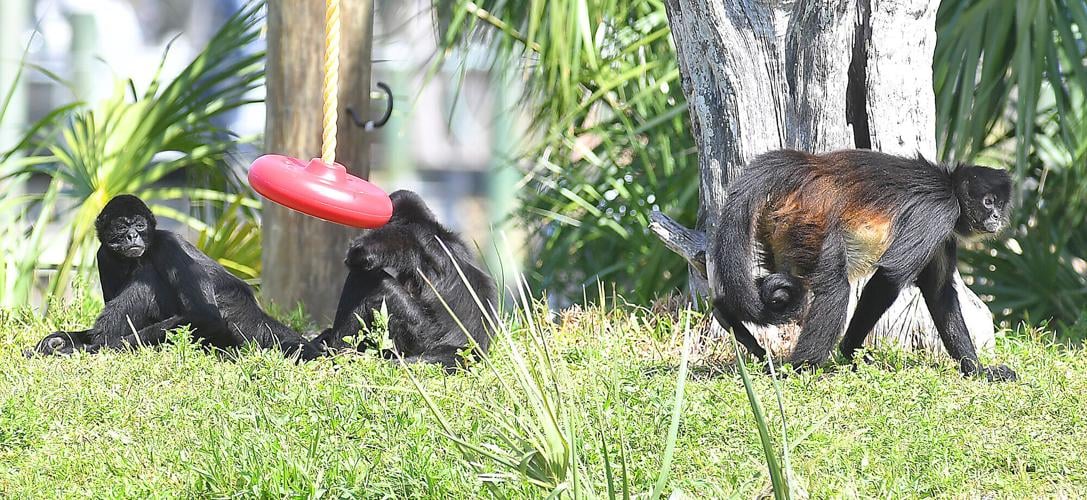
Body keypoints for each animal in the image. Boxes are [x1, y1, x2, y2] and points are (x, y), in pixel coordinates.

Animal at [709, 149, 1016, 382]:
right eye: (989, 202)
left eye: (1000, 204)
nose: (997, 217)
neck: (949, 184)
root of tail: (808, 166)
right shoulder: (939, 210)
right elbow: (890, 276)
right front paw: (849, 351)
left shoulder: (944, 234)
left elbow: (939, 292)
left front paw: (977, 371)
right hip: (809, 223)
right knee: (836, 289)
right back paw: (800, 370)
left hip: (782, 229)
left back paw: (728, 316)